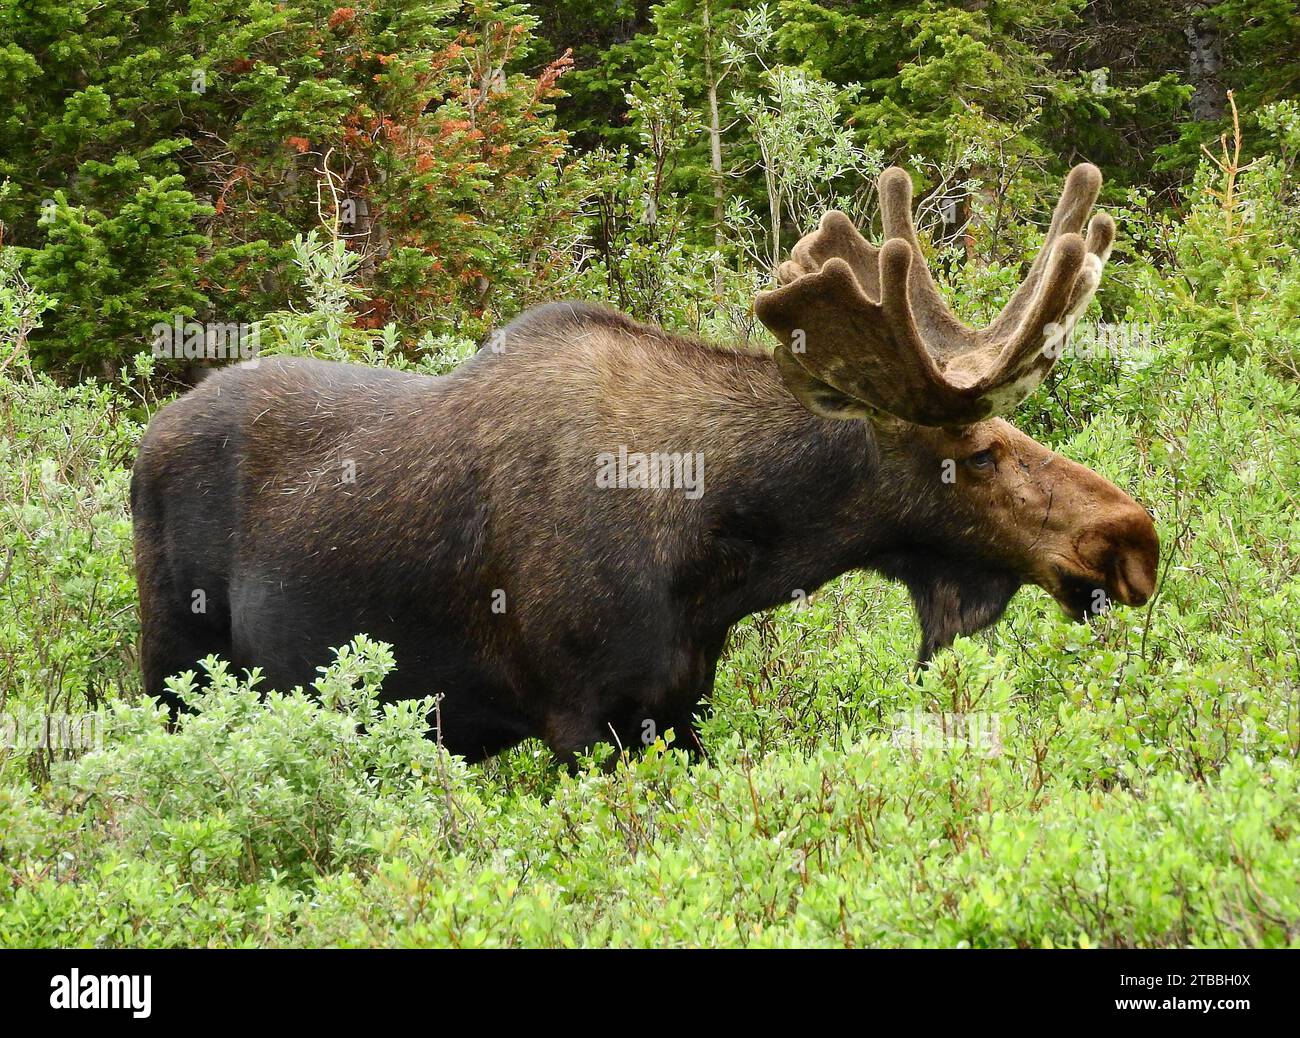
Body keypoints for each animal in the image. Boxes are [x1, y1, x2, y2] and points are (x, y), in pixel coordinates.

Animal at [131, 163, 1158, 764]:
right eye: (980, 451)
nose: (1133, 538)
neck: (720, 561)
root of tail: (143, 442)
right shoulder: (579, 717)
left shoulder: (681, 704)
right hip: (172, 672)